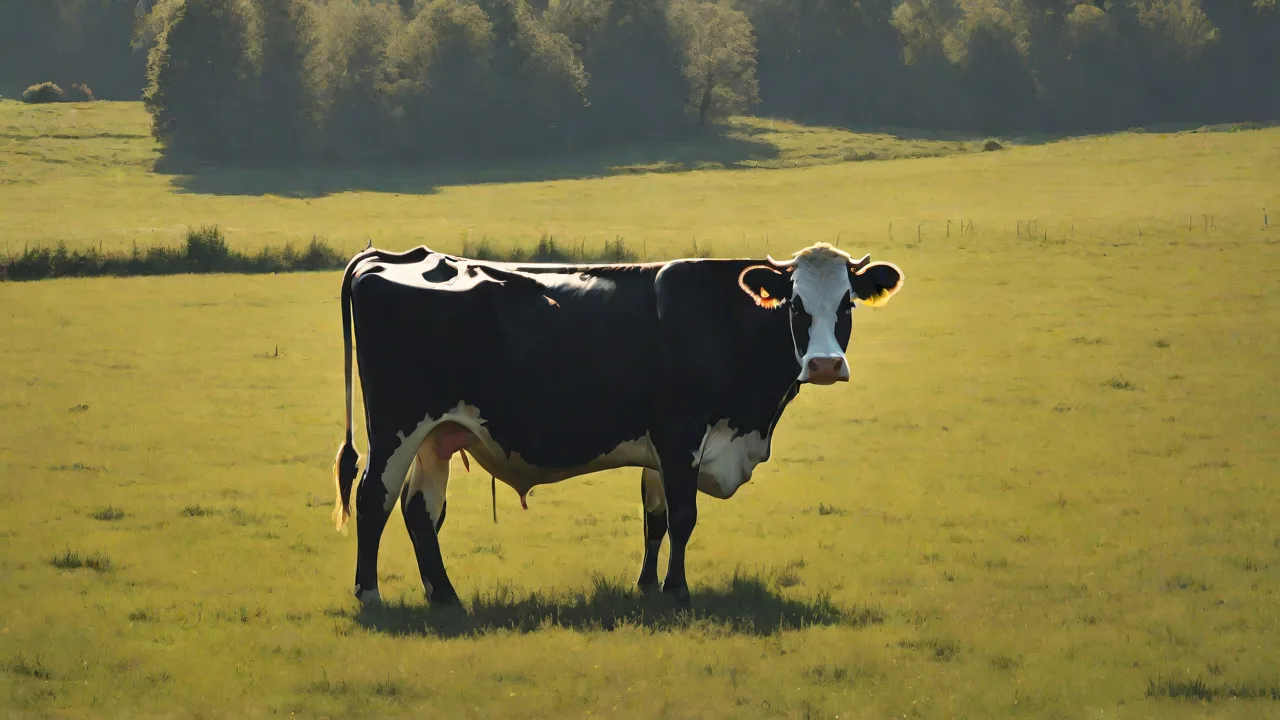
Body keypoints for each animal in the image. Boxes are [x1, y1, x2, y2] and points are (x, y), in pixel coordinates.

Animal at [331, 242, 904, 606]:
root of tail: (396, 257)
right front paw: (677, 592)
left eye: (847, 303)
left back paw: (445, 596)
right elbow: (684, 516)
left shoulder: (660, 447)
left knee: (420, 510)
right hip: (397, 426)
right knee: (374, 498)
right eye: (796, 306)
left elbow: (656, 519)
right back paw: (369, 592)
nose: (825, 365)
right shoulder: (681, 432)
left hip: (436, 435)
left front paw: (648, 586)